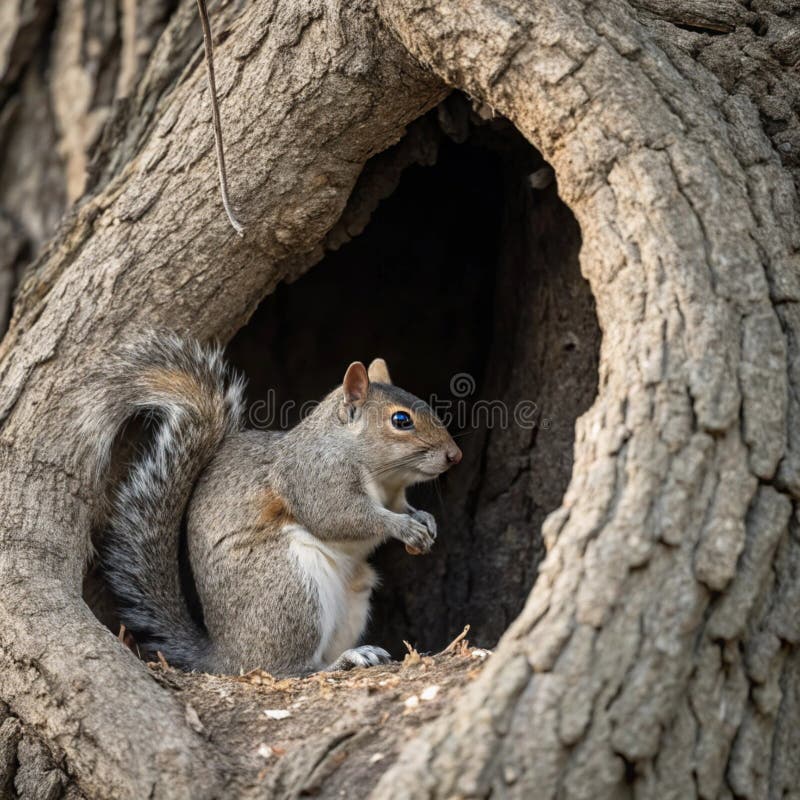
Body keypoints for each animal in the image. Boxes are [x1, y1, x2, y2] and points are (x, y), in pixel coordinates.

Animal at [84, 332, 462, 676]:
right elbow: (339, 517)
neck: (384, 479)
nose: (454, 456)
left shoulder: (393, 496)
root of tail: (225, 656)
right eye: (401, 420)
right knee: (285, 668)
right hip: (292, 586)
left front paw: (425, 520)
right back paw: (342, 661)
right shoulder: (314, 476)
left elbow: (401, 509)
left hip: (353, 591)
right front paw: (402, 527)